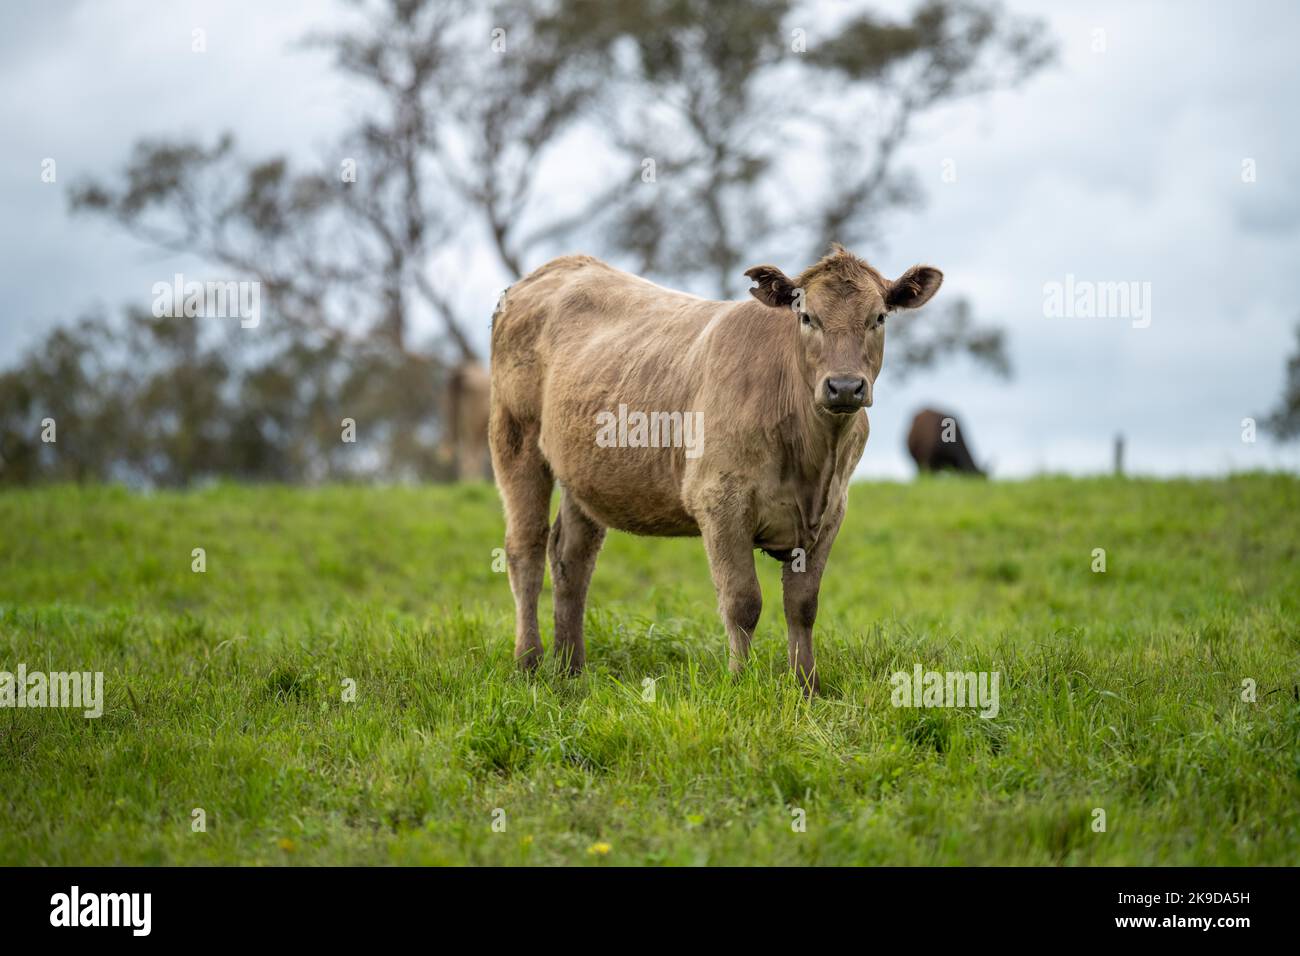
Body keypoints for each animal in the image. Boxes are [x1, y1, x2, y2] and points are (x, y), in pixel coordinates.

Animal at [489, 246, 942, 693]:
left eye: (878, 317)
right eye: (807, 316)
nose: (845, 386)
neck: (812, 458)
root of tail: (562, 265)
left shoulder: (831, 512)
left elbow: (802, 605)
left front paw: (806, 686)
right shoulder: (721, 502)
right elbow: (743, 602)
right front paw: (740, 682)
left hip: (583, 476)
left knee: (572, 559)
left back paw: (571, 670)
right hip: (515, 439)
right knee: (526, 551)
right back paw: (529, 663)